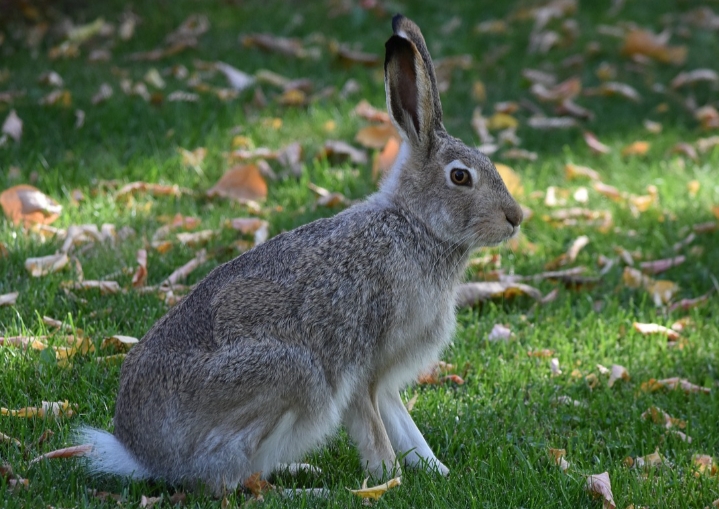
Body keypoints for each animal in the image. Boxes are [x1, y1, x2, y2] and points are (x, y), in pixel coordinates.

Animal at [77, 13, 523, 496]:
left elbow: (406, 428)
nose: (515, 217)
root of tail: (142, 455)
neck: (415, 225)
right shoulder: (360, 368)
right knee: (222, 481)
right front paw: (388, 480)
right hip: (293, 374)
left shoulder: (384, 381)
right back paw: (309, 489)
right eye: (460, 177)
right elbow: (375, 433)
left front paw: (437, 472)